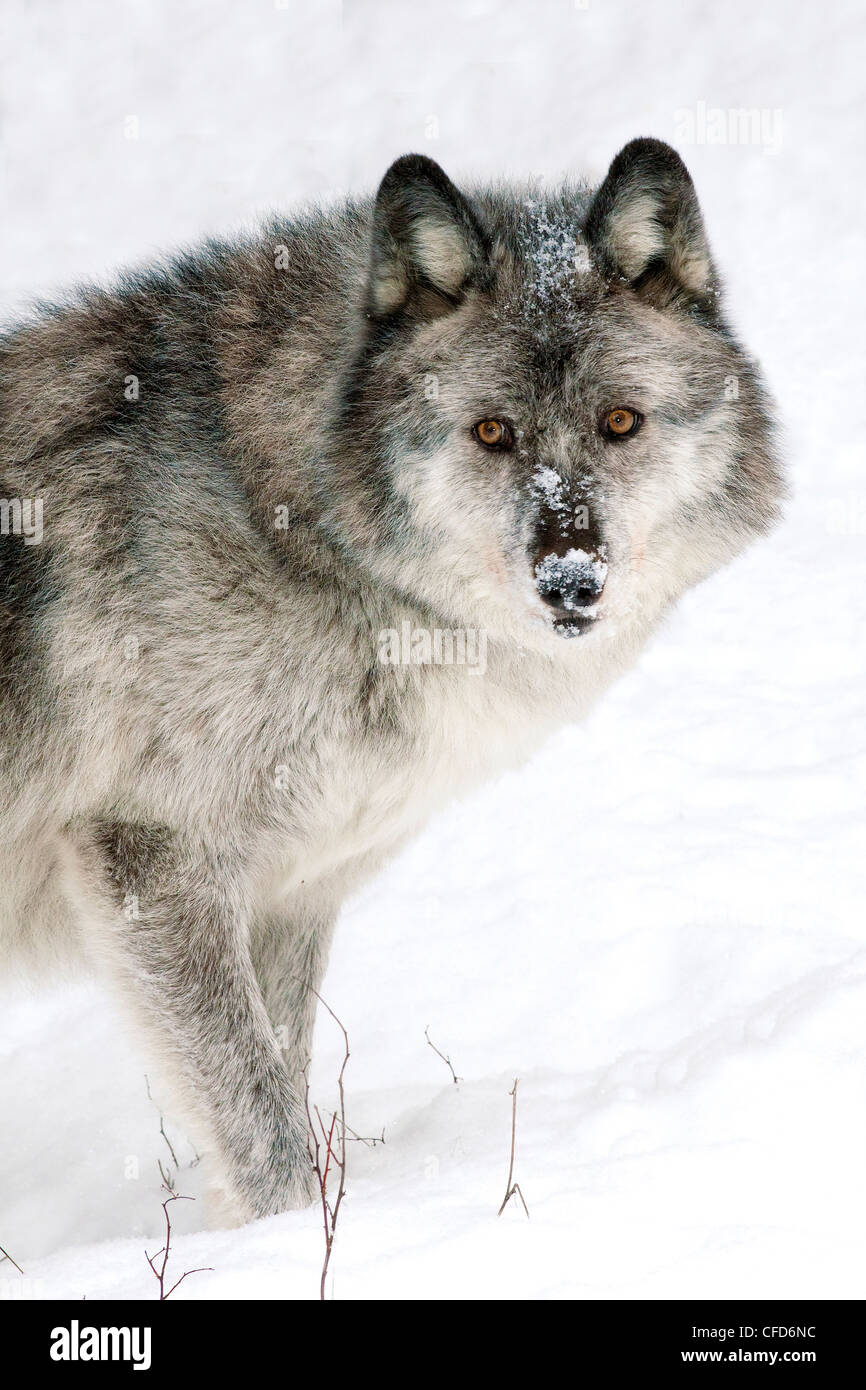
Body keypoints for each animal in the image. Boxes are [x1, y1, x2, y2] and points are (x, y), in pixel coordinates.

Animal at [0, 139, 782, 1223]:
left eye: (620, 422)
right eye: (492, 433)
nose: (569, 580)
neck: (290, 515)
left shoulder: (290, 891)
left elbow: (279, 1080)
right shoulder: (154, 860)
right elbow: (260, 1126)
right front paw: (290, 1243)